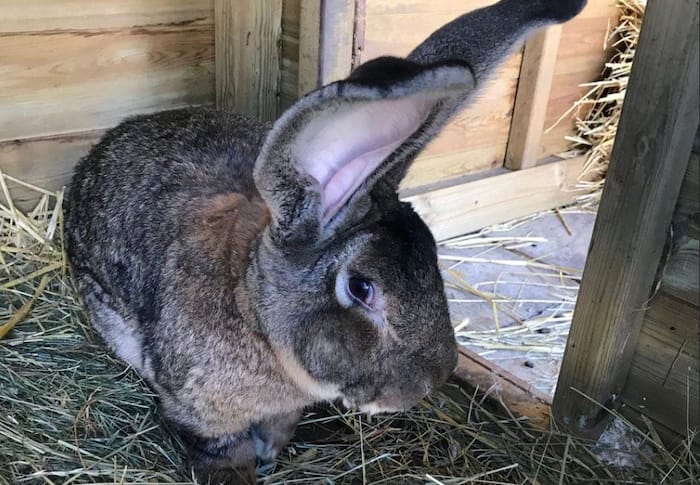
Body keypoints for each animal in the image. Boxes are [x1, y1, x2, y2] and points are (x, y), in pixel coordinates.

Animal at [64, 0, 587, 482]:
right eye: (361, 287)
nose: (429, 381)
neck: (252, 309)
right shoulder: (204, 416)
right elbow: (222, 453)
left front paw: (270, 454)